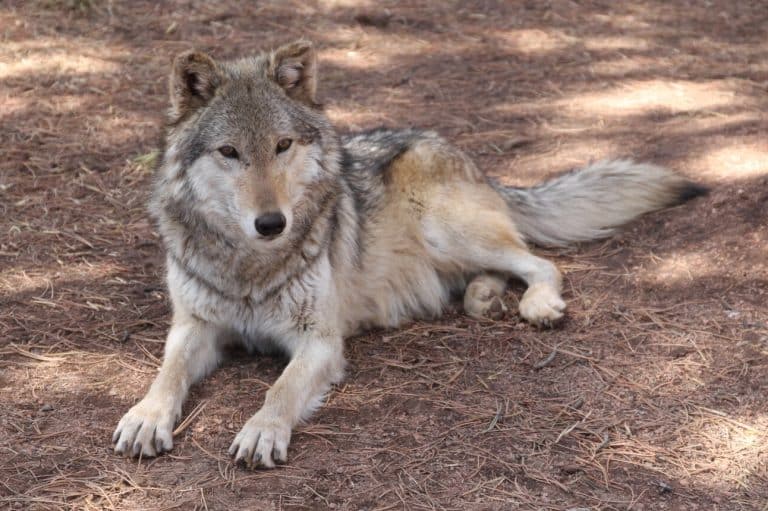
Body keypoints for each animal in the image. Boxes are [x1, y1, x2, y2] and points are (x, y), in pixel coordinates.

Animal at [112, 40, 707, 468]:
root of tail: (461, 152)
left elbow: (279, 391)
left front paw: (262, 431)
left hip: (446, 229)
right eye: (229, 152)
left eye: (282, 146)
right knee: (494, 271)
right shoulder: (195, 326)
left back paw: (534, 304)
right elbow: (167, 373)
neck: (249, 265)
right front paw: (146, 416)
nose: (271, 222)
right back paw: (483, 297)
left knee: (539, 262)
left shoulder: (319, 342)